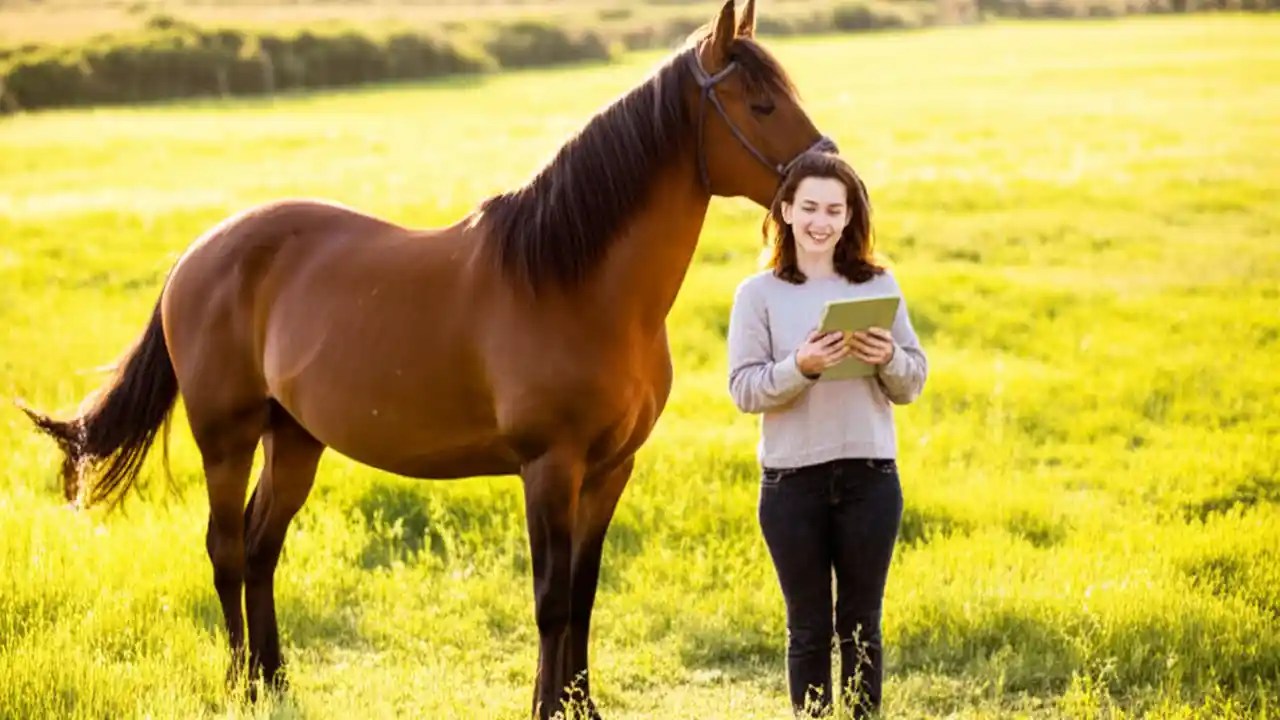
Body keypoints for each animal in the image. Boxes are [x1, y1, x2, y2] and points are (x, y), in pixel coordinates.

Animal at [21, 0, 835, 716]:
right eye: (762, 104)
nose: (829, 184)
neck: (574, 283)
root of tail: (196, 254)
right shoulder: (550, 467)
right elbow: (550, 601)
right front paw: (548, 708)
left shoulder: (610, 469)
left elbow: (583, 594)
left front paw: (582, 706)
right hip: (227, 435)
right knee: (224, 550)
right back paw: (241, 686)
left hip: (296, 438)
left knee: (259, 548)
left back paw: (275, 682)